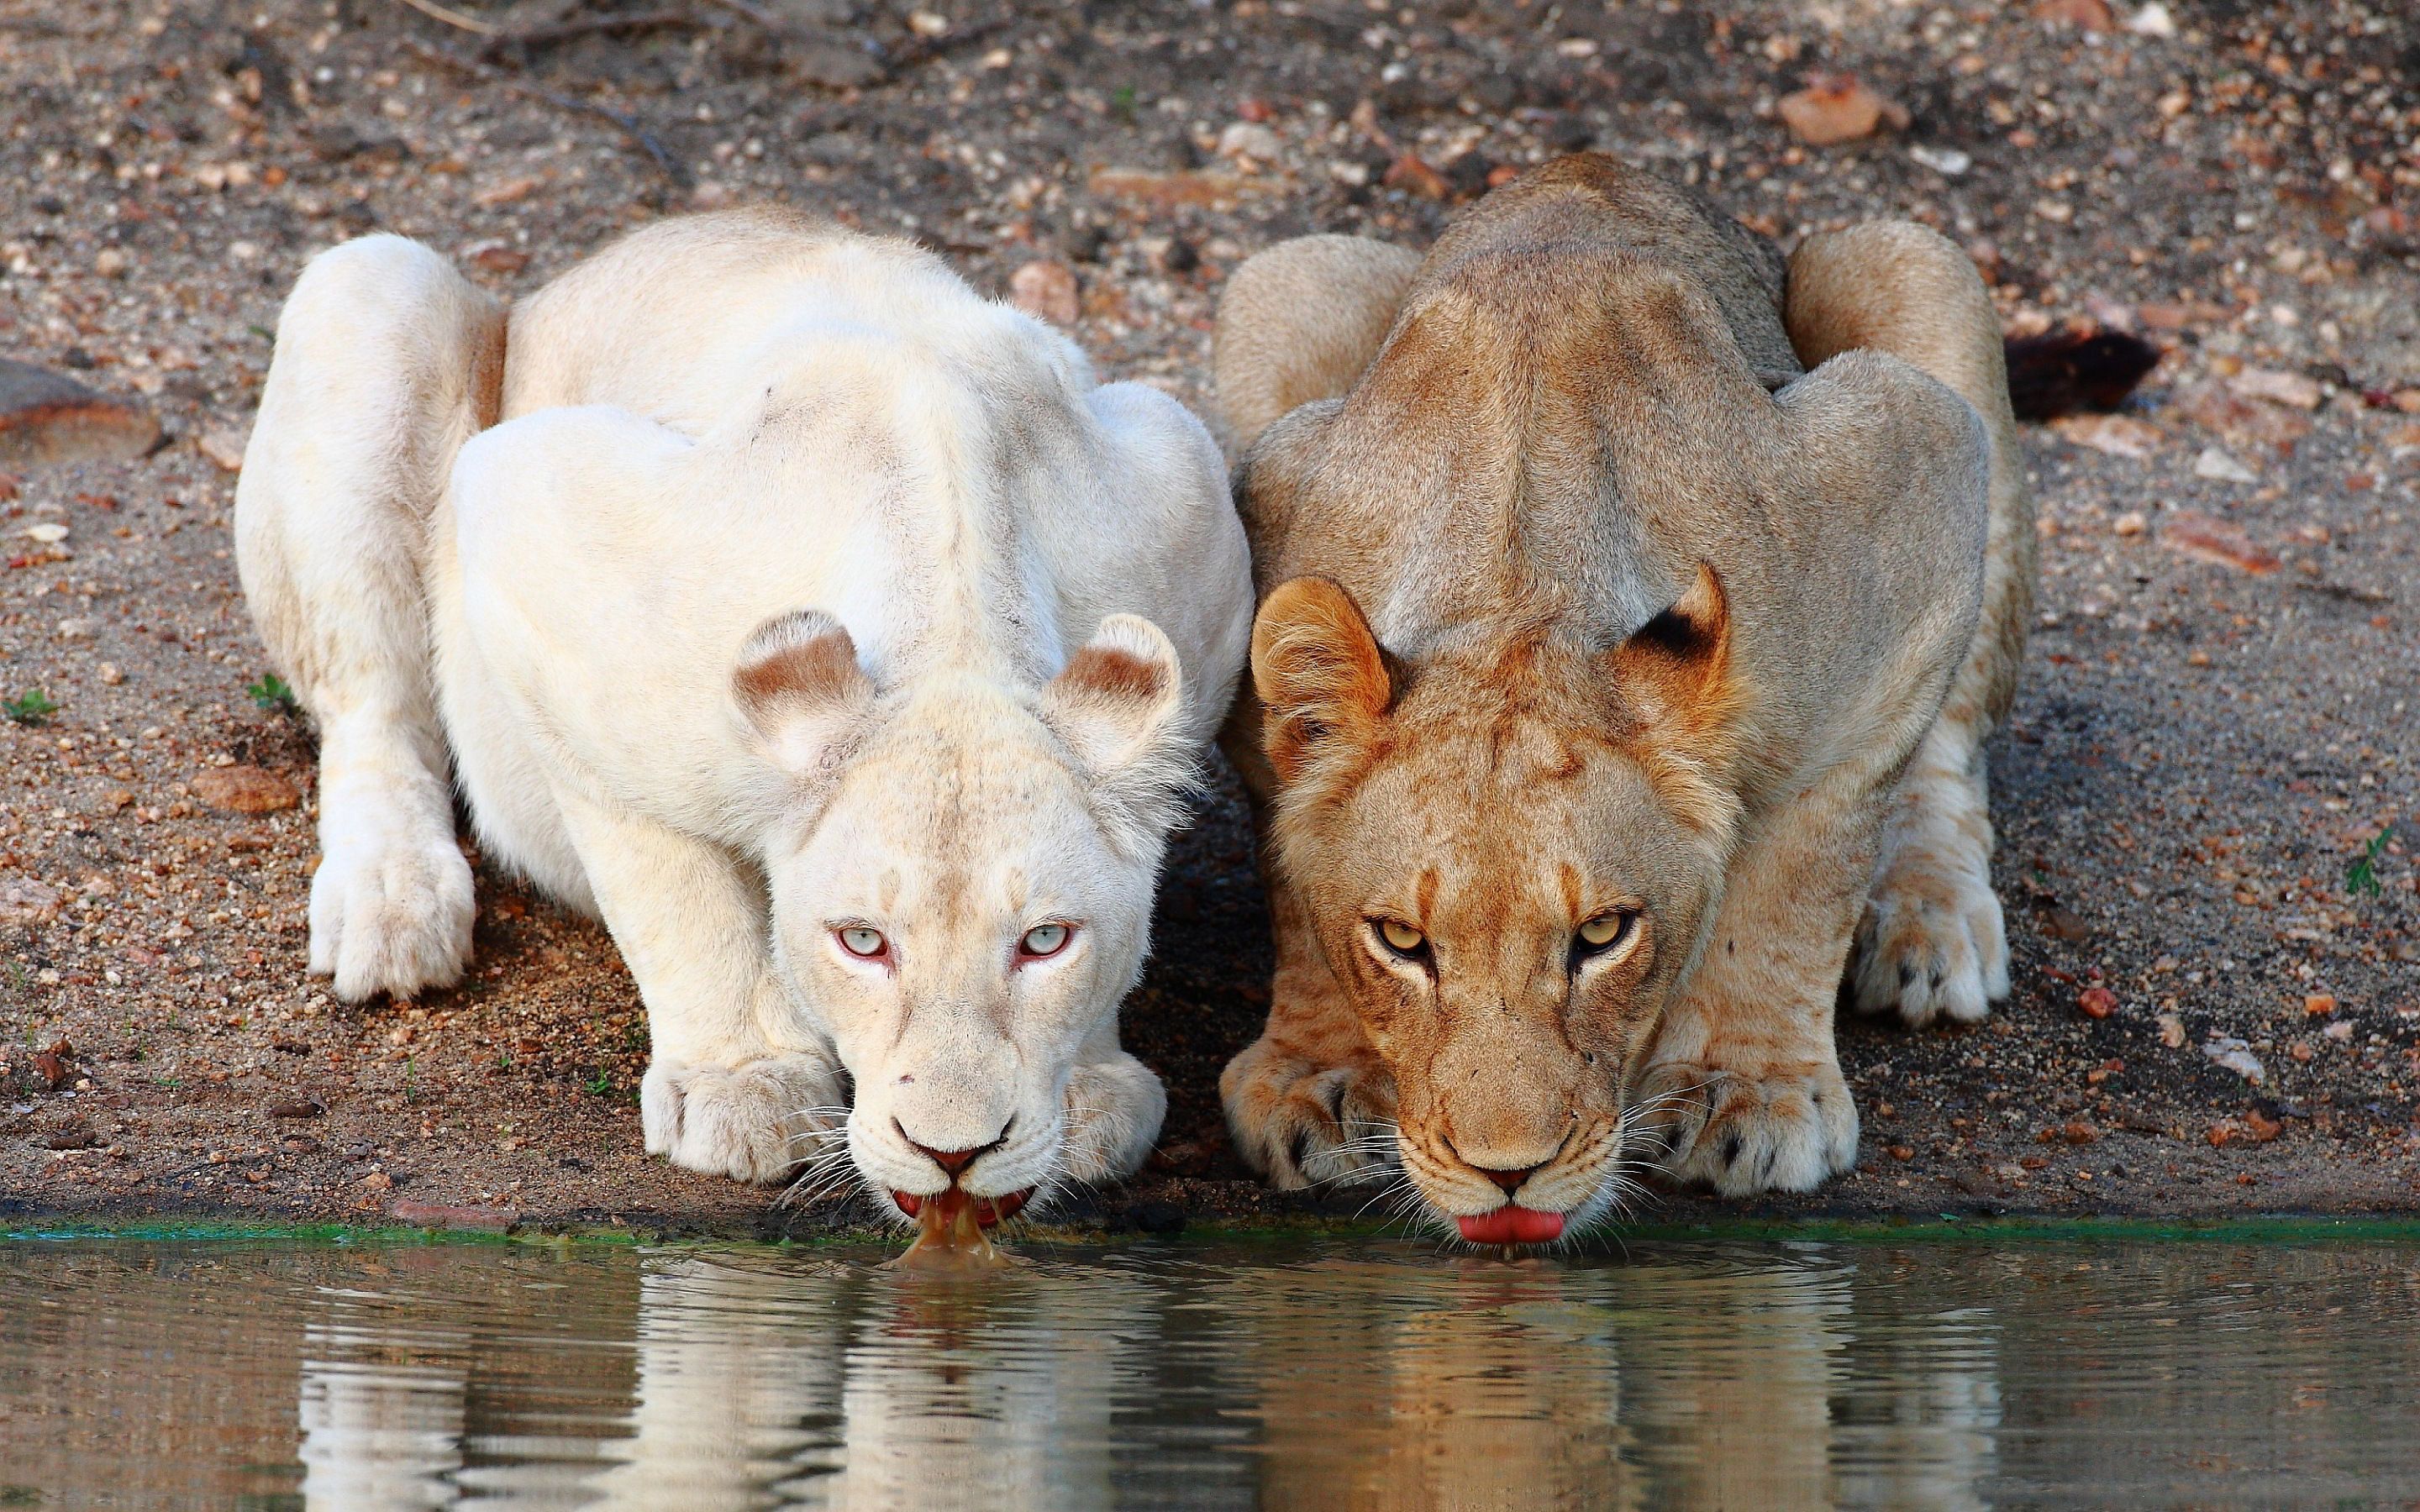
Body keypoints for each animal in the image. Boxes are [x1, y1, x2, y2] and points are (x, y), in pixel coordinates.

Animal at [234, 211, 1252, 1221]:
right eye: (862, 942)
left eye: (1046, 941)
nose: (954, 1154)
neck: (955, 622)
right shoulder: (536, 535)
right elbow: (672, 888)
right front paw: (746, 1087)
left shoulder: (1190, 499)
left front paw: (1092, 1091)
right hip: (373, 291)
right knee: (372, 701)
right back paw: (391, 909)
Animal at [1210, 155, 2031, 1240]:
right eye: (1402, 942)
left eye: (1602, 936)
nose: (1507, 1175)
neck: (1516, 589)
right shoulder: (1266, 522)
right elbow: (1294, 880)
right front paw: (1325, 1073)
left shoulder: (1912, 469)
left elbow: (1807, 866)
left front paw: (1744, 1088)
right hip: (1286, 280)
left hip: (1914, 265)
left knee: (1948, 747)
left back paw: (1931, 928)